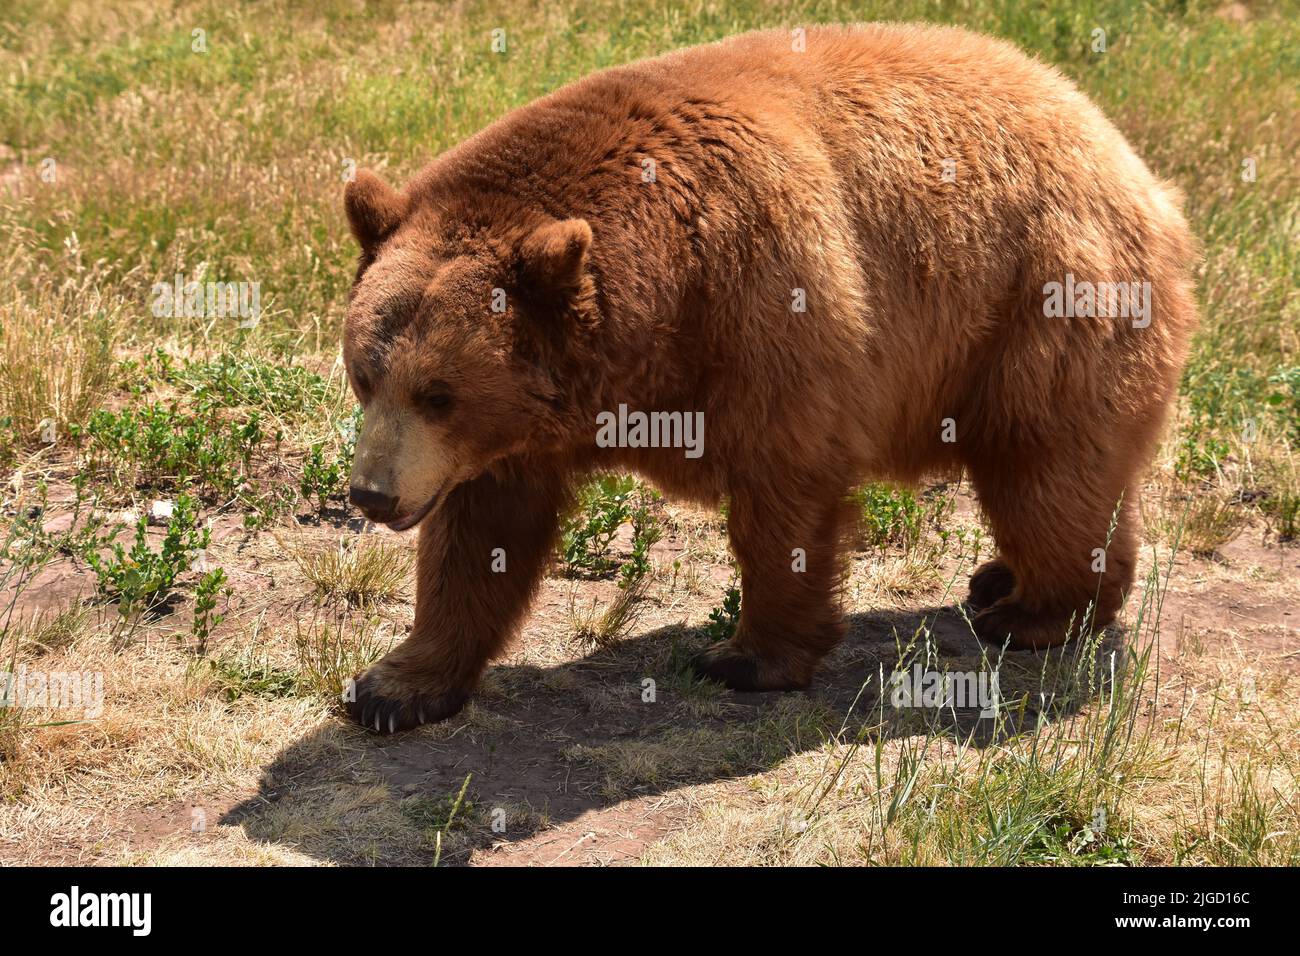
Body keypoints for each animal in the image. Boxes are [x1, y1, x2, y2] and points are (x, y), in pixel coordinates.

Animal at [339, 23, 1198, 733]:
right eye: (363, 376)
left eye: (438, 393)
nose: (371, 494)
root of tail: (1138, 169)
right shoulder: (524, 421)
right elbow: (479, 535)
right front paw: (394, 686)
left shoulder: (764, 297)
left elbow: (784, 484)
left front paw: (745, 657)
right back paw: (1009, 582)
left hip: (1039, 302)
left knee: (1043, 467)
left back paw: (1031, 611)